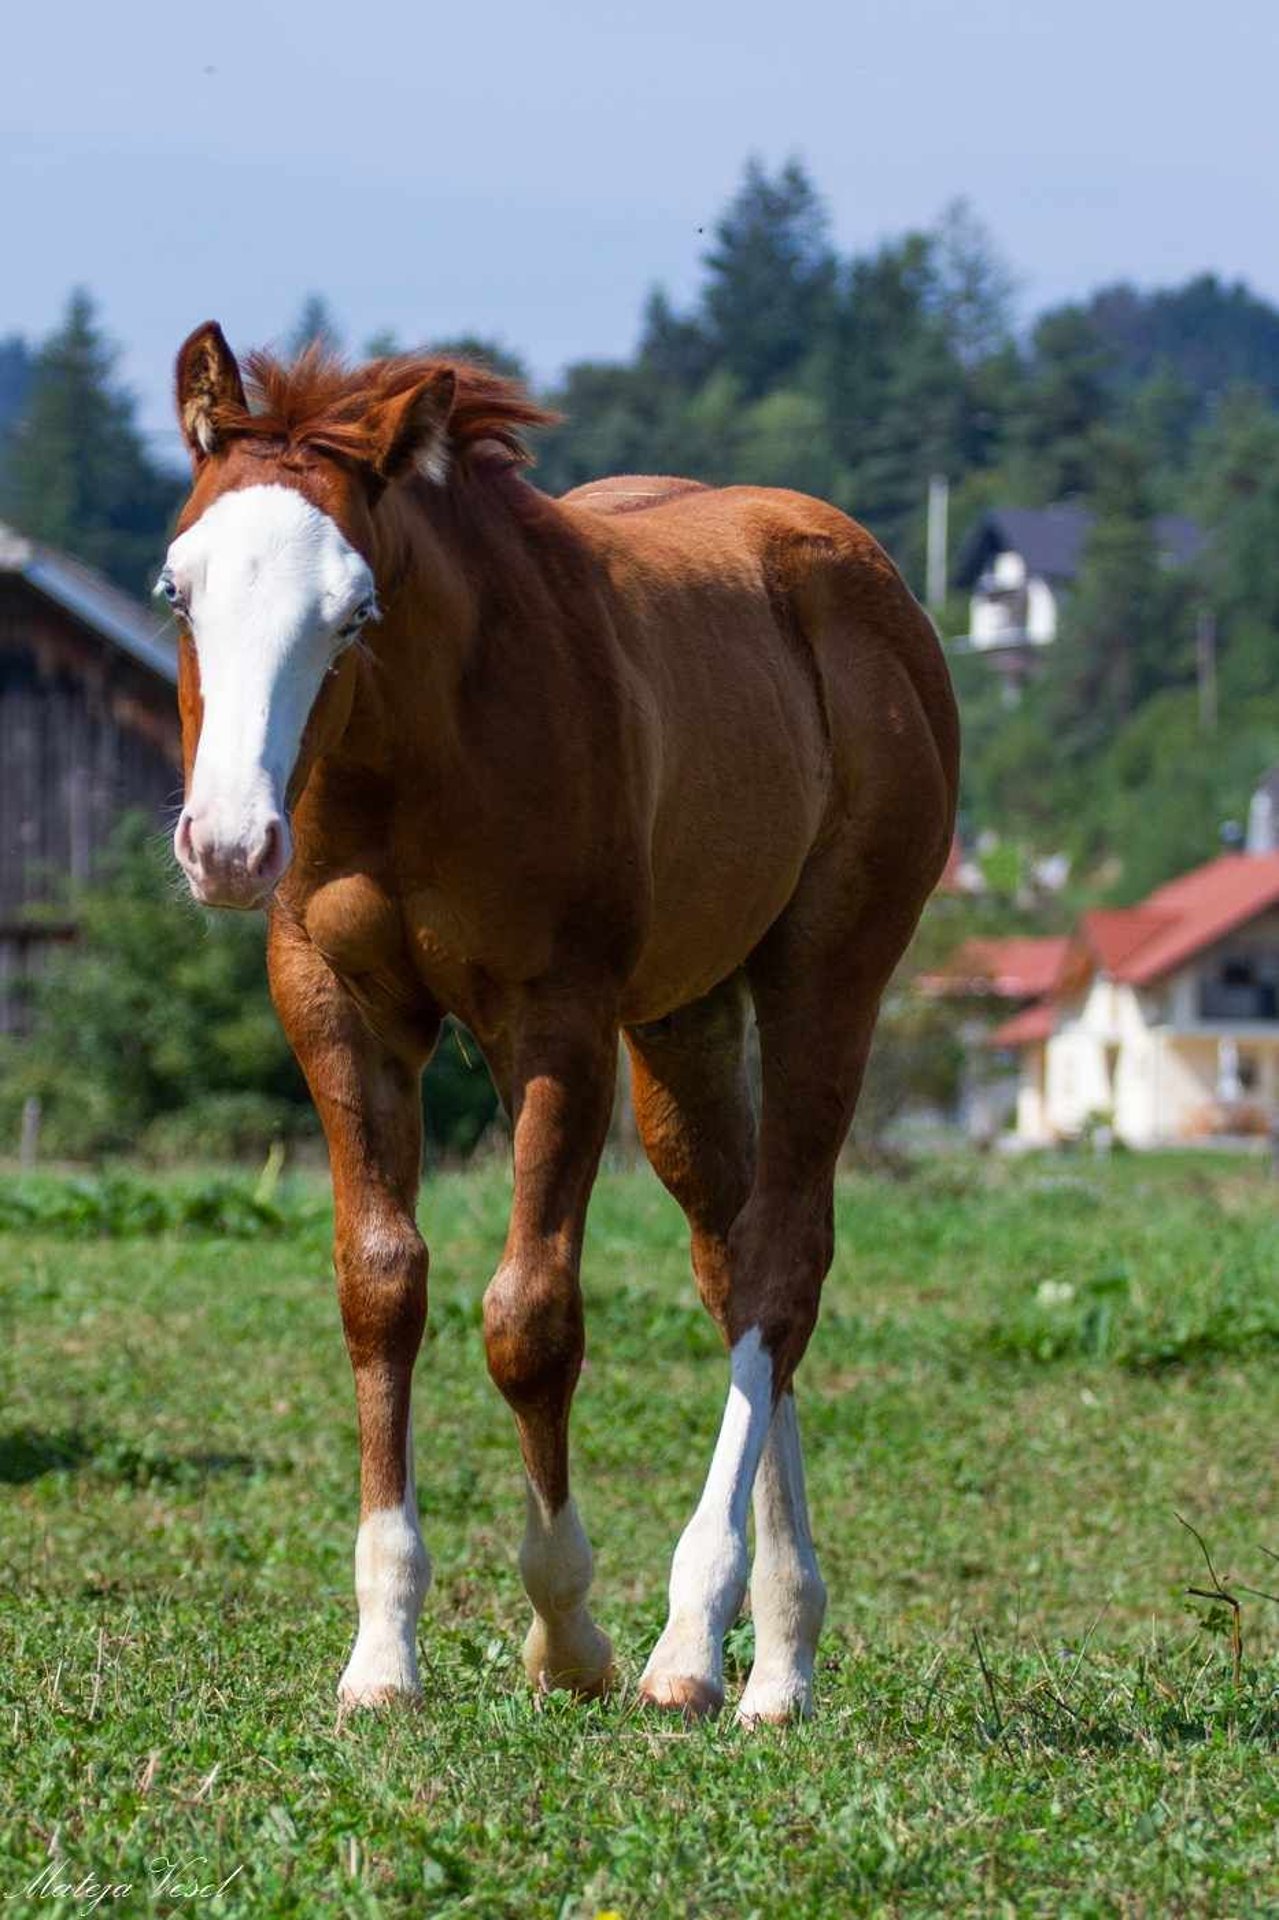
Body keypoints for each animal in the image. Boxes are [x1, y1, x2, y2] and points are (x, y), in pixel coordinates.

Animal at [162, 322, 959, 1723]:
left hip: (828, 972)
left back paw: (699, 1645)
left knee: (783, 1261)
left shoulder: (559, 1025)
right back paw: (780, 1643)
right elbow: (381, 1286)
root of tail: (867, 576)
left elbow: (530, 1318)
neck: (410, 758)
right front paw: (383, 1653)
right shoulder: (337, 1005)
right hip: (686, 1017)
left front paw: (566, 1630)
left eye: (353, 611)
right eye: (176, 593)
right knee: (732, 1259)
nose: (230, 847)